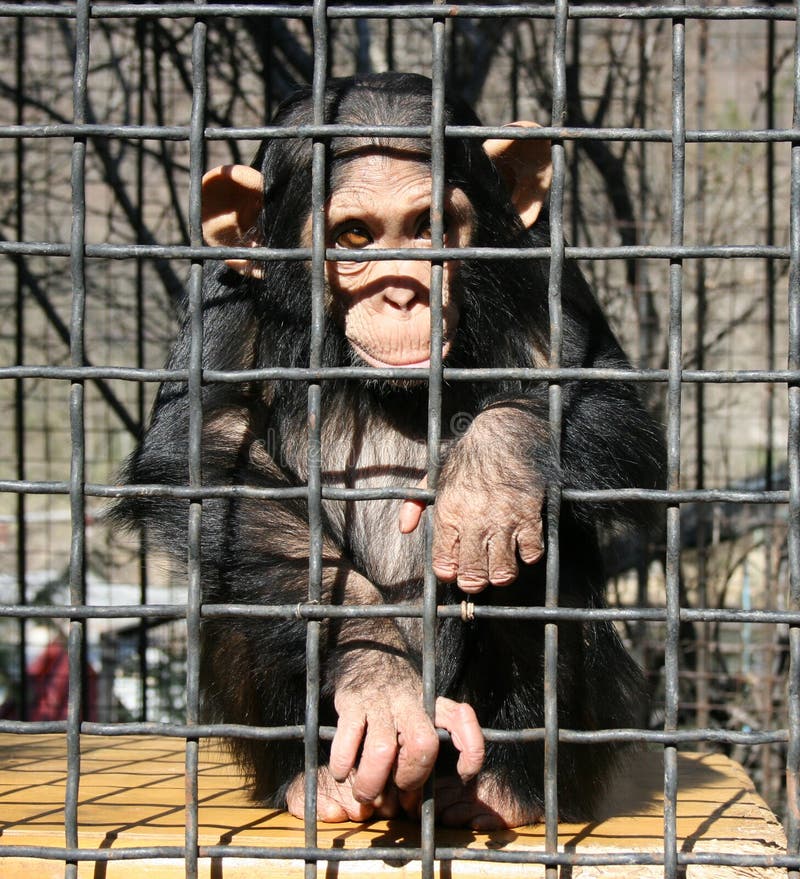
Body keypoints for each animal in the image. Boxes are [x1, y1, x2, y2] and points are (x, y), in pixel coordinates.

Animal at [114, 72, 665, 830]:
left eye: (427, 228)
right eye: (355, 236)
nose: (403, 291)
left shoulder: (539, 267)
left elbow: (610, 405)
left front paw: (488, 482)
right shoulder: (221, 299)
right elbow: (202, 448)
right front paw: (379, 681)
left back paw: (505, 786)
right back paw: (317, 783)